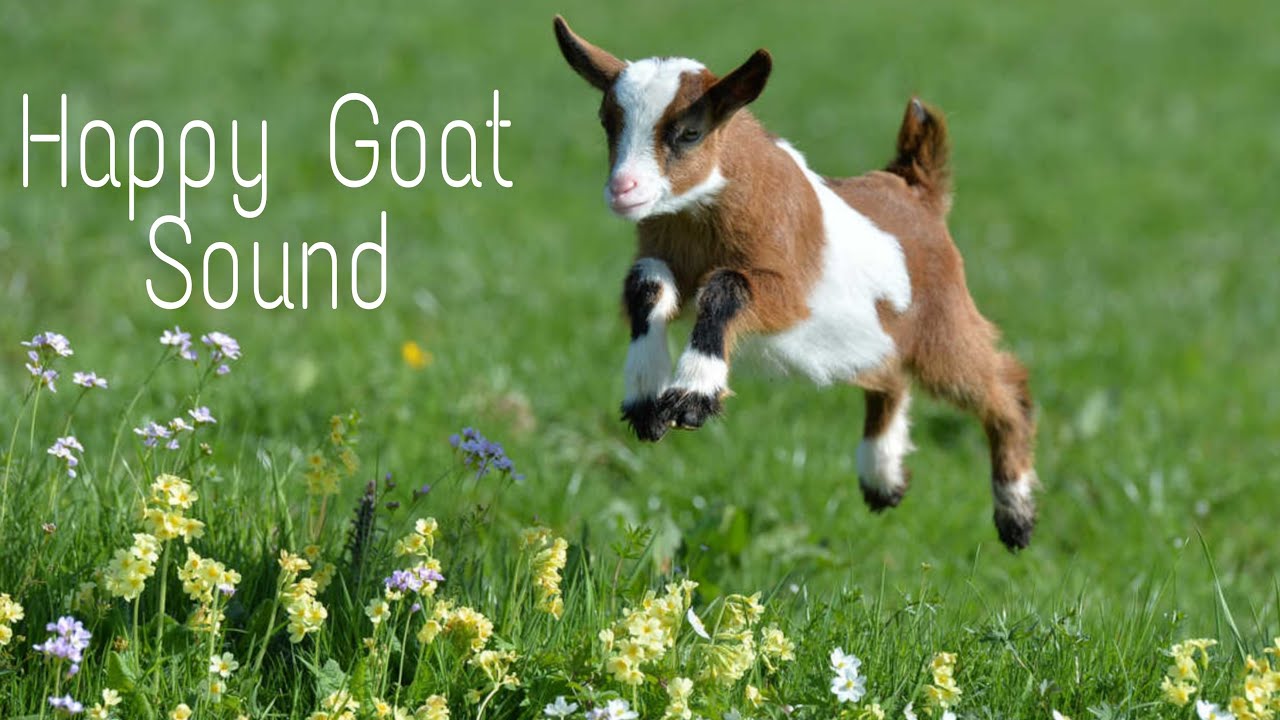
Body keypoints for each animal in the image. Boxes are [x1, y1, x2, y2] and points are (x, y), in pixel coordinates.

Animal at [553, 16, 1039, 550]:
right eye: (607, 122)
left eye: (689, 133)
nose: (623, 190)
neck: (704, 216)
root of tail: (916, 188)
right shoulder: (663, 255)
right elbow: (647, 285)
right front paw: (646, 398)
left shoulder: (789, 292)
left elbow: (726, 286)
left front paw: (693, 396)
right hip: (876, 336)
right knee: (891, 378)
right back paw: (882, 478)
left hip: (942, 322)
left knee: (1004, 386)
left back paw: (1015, 515)